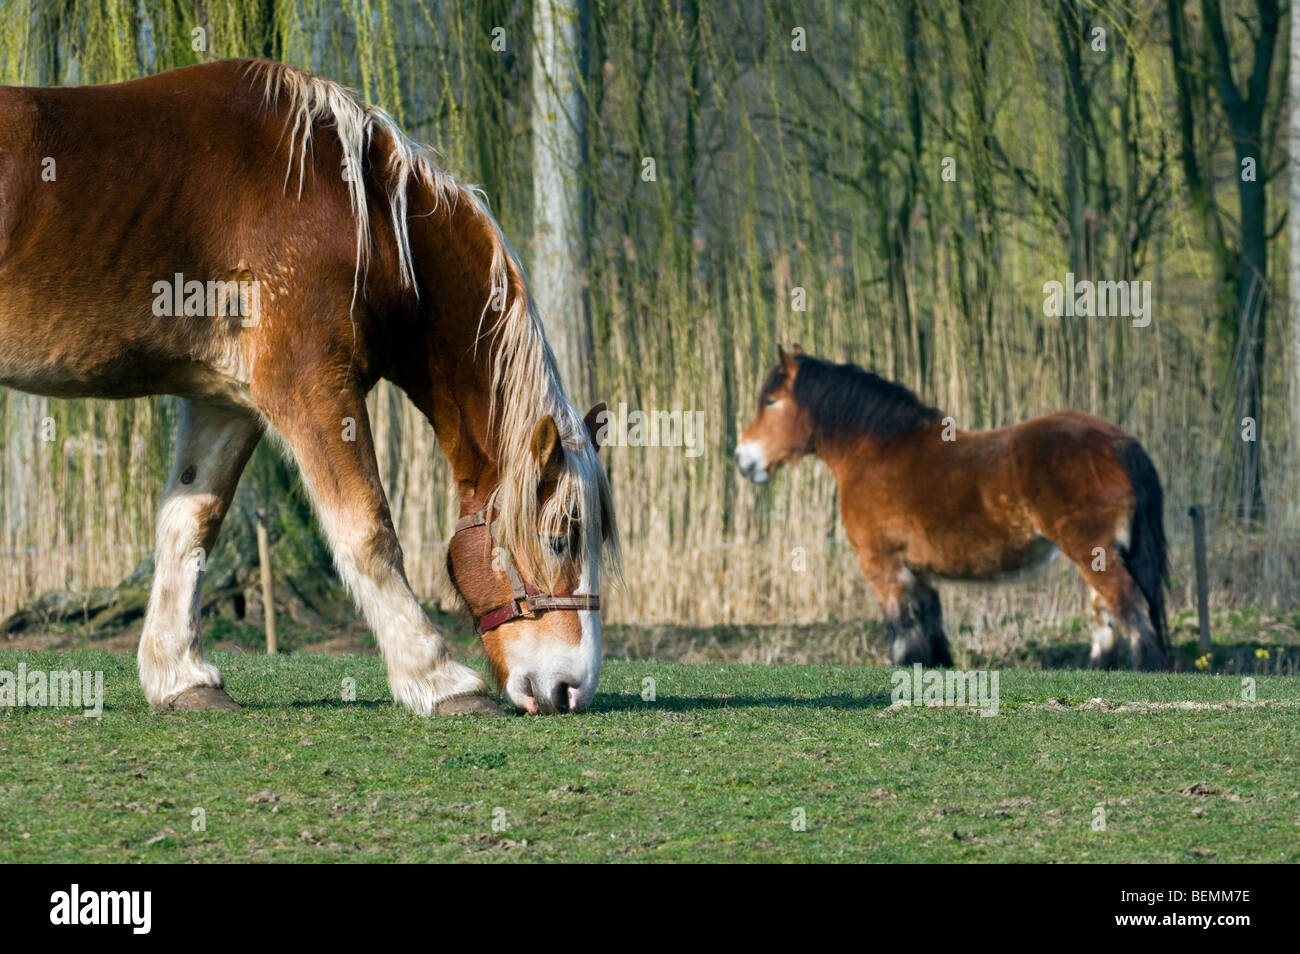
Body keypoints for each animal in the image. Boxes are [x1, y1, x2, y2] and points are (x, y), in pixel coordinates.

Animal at [0, 59, 621, 715]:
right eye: (560, 538)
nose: (571, 687)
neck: (364, 214)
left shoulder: (226, 401)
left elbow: (190, 523)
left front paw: (181, 675)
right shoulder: (310, 385)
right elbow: (367, 530)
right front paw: (438, 677)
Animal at [735, 347, 1170, 671]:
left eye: (770, 401)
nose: (742, 459)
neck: (876, 450)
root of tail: (1118, 442)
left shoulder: (883, 564)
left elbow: (902, 628)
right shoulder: (918, 570)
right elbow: (929, 625)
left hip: (1092, 552)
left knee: (1128, 605)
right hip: (1098, 554)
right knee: (1105, 613)